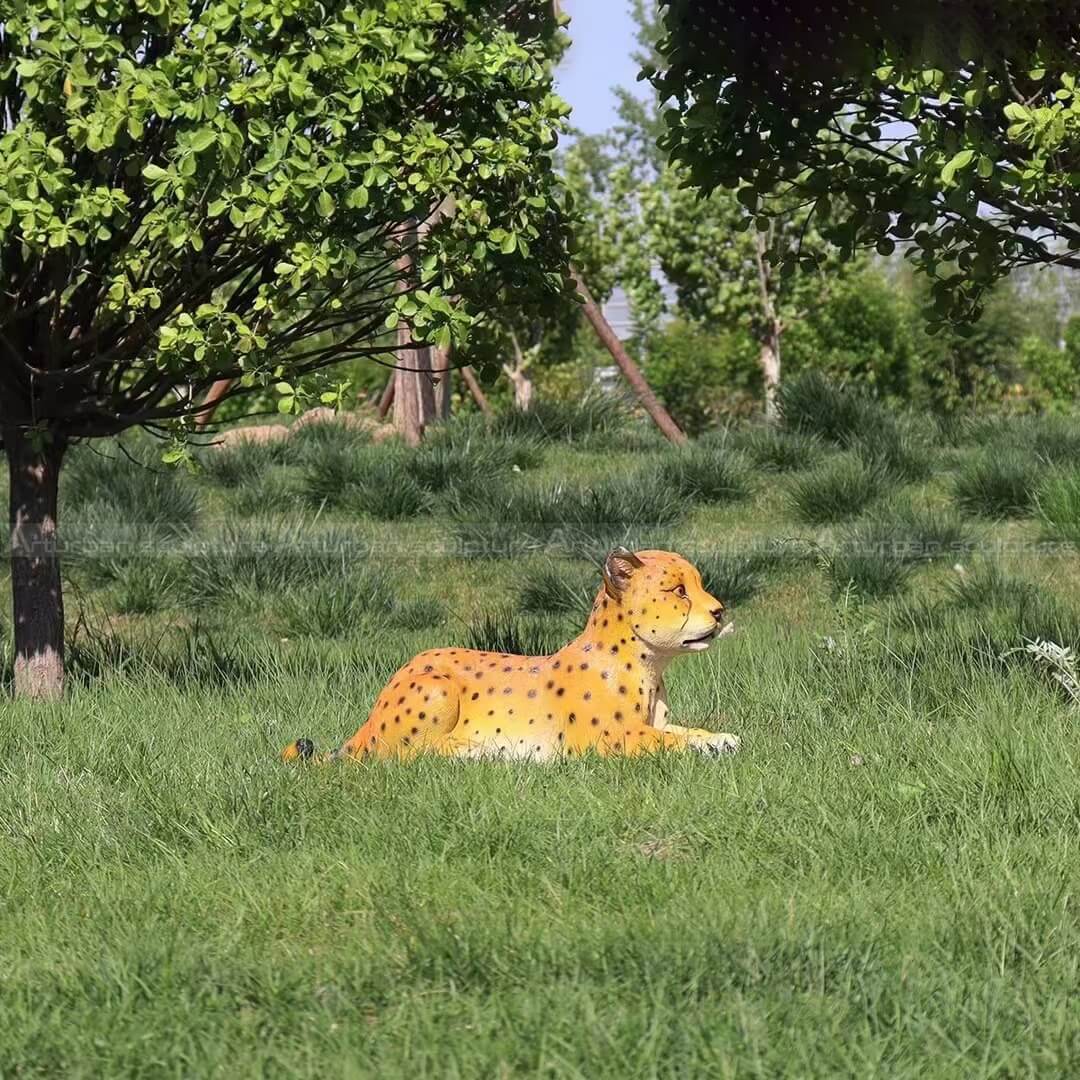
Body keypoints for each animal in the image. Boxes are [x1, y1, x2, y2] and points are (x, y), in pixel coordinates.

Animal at [281, 547, 740, 763]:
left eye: (698, 584)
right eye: (678, 590)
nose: (720, 611)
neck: (645, 662)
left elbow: (683, 732)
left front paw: (719, 738)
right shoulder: (609, 740)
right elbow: (666, 741)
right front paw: (709, 745)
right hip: (435, 689)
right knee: (405, 756)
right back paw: (485, 752)